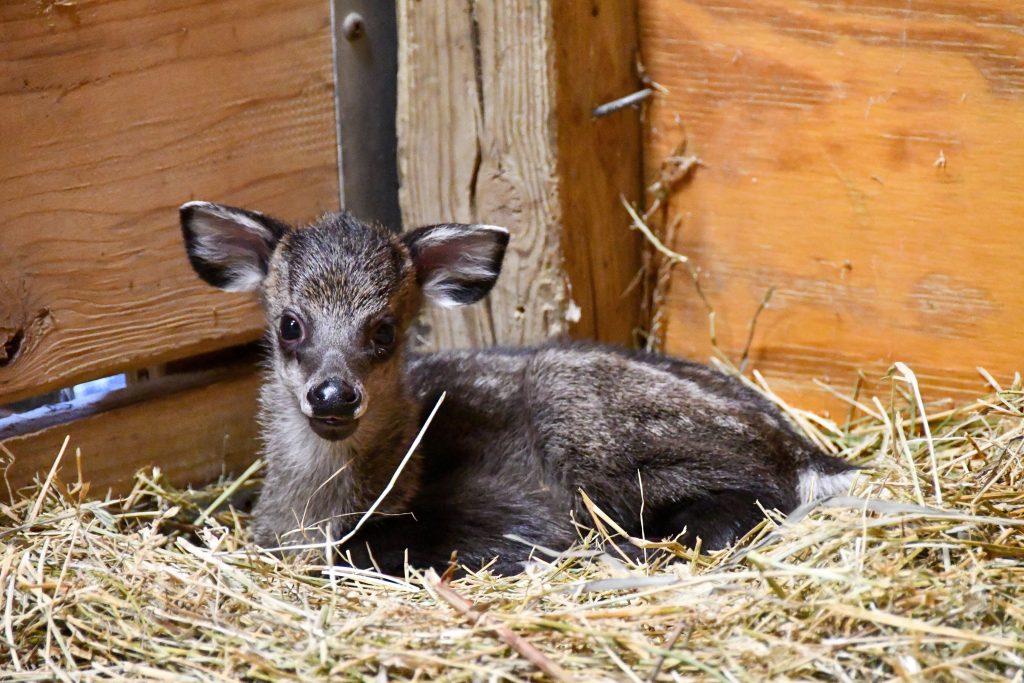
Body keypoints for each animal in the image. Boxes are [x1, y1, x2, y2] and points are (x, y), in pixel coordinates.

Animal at [179, 202, 855, 575]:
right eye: (290, 324)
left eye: (385, 329)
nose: (333, 396)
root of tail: (814, 457)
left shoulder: (520, 515)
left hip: (589, 419)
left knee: (739, 507)